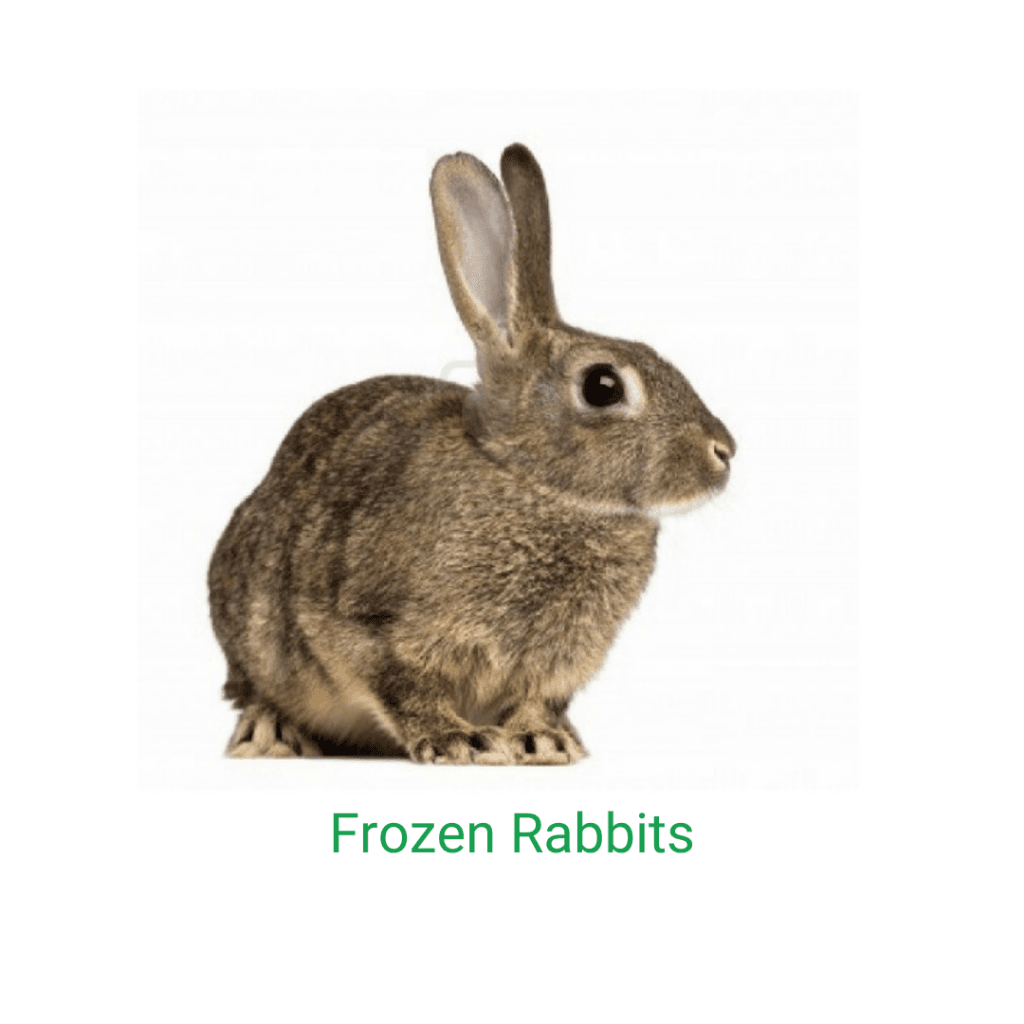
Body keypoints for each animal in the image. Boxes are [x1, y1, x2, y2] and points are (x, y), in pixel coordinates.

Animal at [208, 143, 735, 764]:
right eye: (603, 386)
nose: (724, 451)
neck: (530, 481)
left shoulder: (552, 669)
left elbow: (536, 701)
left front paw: (544, 742)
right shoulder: (367, 622)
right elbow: (400, 682)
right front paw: (455, 739)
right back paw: (269, 733)